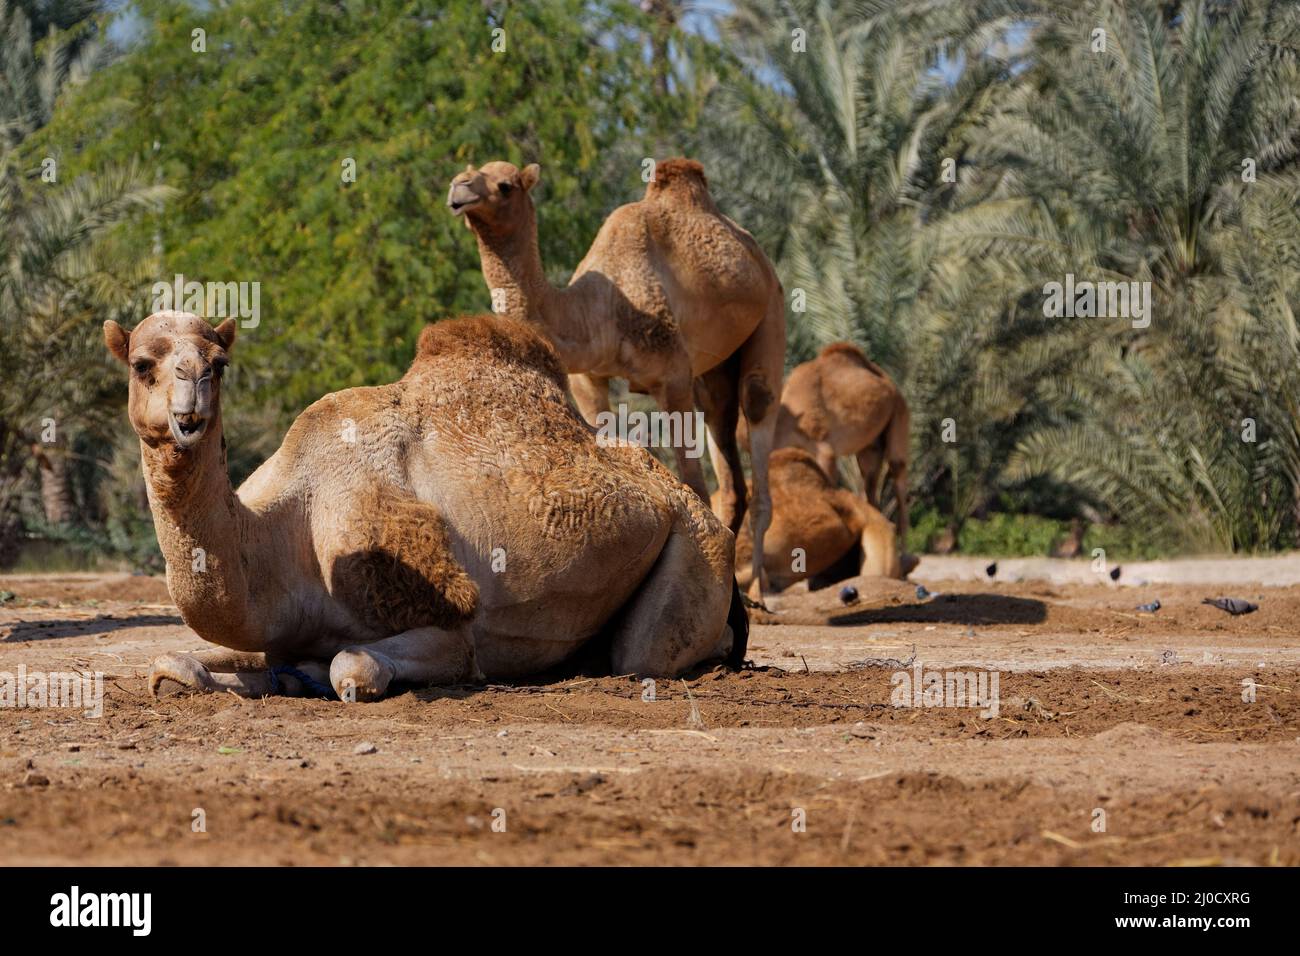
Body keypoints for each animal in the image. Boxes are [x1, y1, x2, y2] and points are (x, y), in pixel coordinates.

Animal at [104, 311, 747, 701]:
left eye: (218, 364)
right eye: (142, 364)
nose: (190, 407)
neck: (286, 533)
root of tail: (680, 494)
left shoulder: (452, 631)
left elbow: (352, 667)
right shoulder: (281, 636)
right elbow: (176, 662)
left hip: (696, 541)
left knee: (643, 652)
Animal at [447, 158, 785, 598]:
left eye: (505, 185)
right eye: (469, 171)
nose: (460, 188)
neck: (600, 310)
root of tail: (754, 251)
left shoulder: (672, 375)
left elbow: (693, 484)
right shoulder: (589, 380)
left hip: (771, 311)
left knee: (758, 409)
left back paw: (761, 593)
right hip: (714, 369)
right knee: (723, 435)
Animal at [772, 342, 911, 545]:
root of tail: (891, 384)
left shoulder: (824, 449)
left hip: (899, 414)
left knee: (898, 475)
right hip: (870, 446)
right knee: (870, 483)